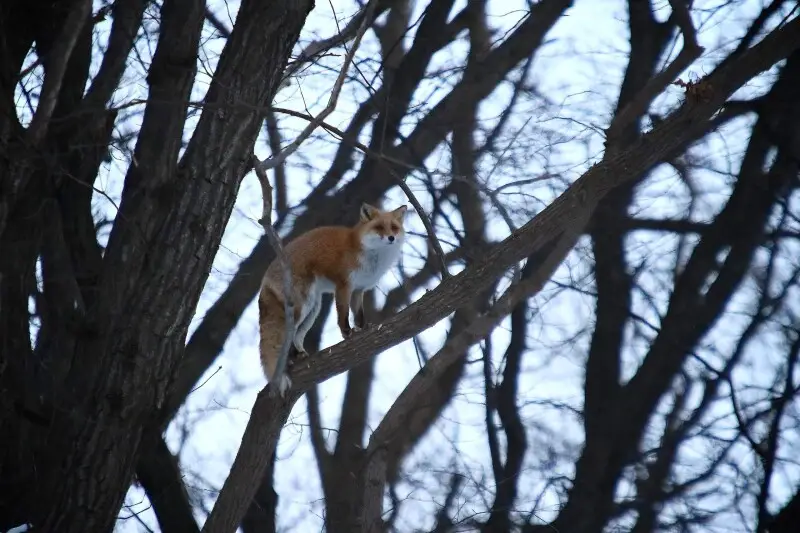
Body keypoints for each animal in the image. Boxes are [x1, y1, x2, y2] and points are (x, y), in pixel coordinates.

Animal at [259, 202, 408, 395]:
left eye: (394, 228)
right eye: (379, 227)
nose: (391, 237)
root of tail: (264, 279)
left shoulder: (359, 289)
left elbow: (359, 315)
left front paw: (362, 329)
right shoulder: (343, 285)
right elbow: (343, 315)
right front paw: (348, 334)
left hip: (314, 307)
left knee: (297, 336)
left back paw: (300, 354)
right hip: (302, 306)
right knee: (288, 333)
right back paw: (290, 358)